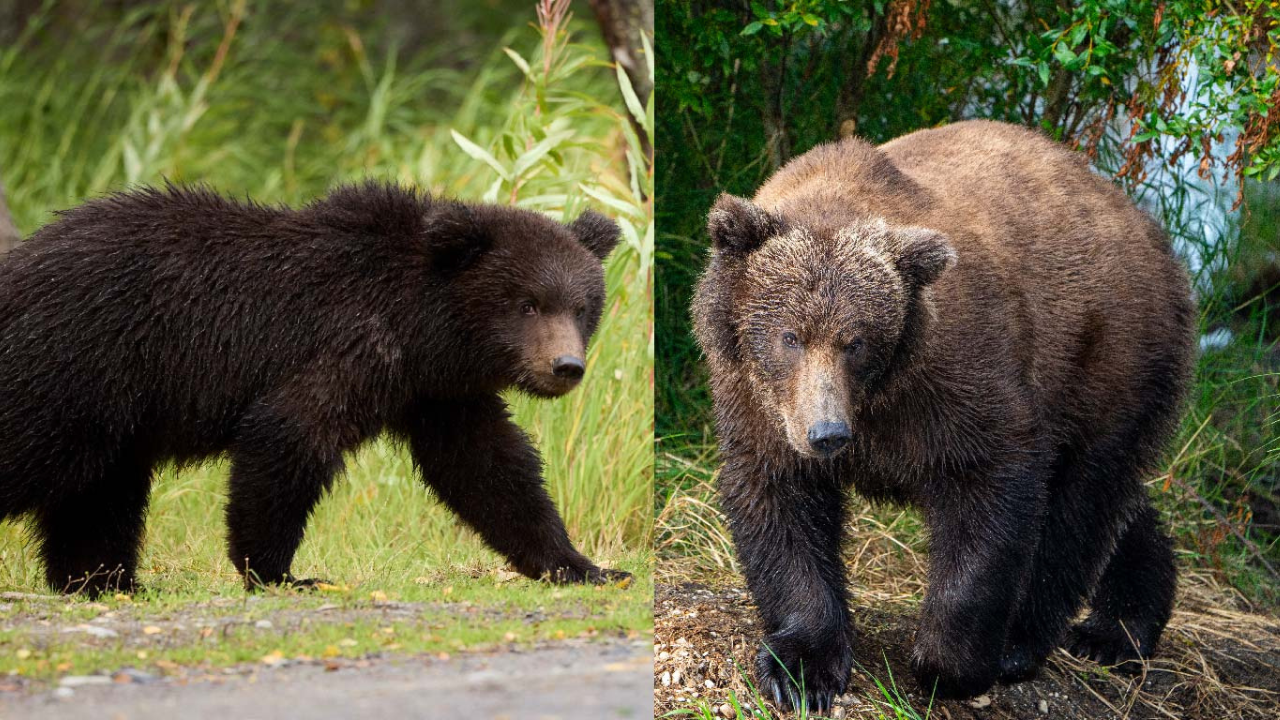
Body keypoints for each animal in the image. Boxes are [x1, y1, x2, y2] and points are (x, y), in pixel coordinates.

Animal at [0, 181, 629, 595]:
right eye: (527, 304)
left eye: (581, 306)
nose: (566, 365)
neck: (424, 325)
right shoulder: (346, 345)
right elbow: (291, 431)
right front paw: (281, 572)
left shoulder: (437, 393)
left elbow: (490, 469)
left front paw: (584, 565)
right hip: (75, 367)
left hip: (112, 414)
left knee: (101, 495)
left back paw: (102, 581)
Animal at [691, 120, 1195, 709]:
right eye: (790, 336)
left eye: (856, 342)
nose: (827, 434)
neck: (876, 400)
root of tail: (1151, 232)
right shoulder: (759, 400)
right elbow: (780, 501)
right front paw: (803, 669)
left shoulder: (959, 376)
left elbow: (990, 489)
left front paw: (948, 664)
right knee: (1118, 504)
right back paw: (1123, 623)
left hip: (1109, 356)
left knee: (1082, 499)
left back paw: (1030, 642)